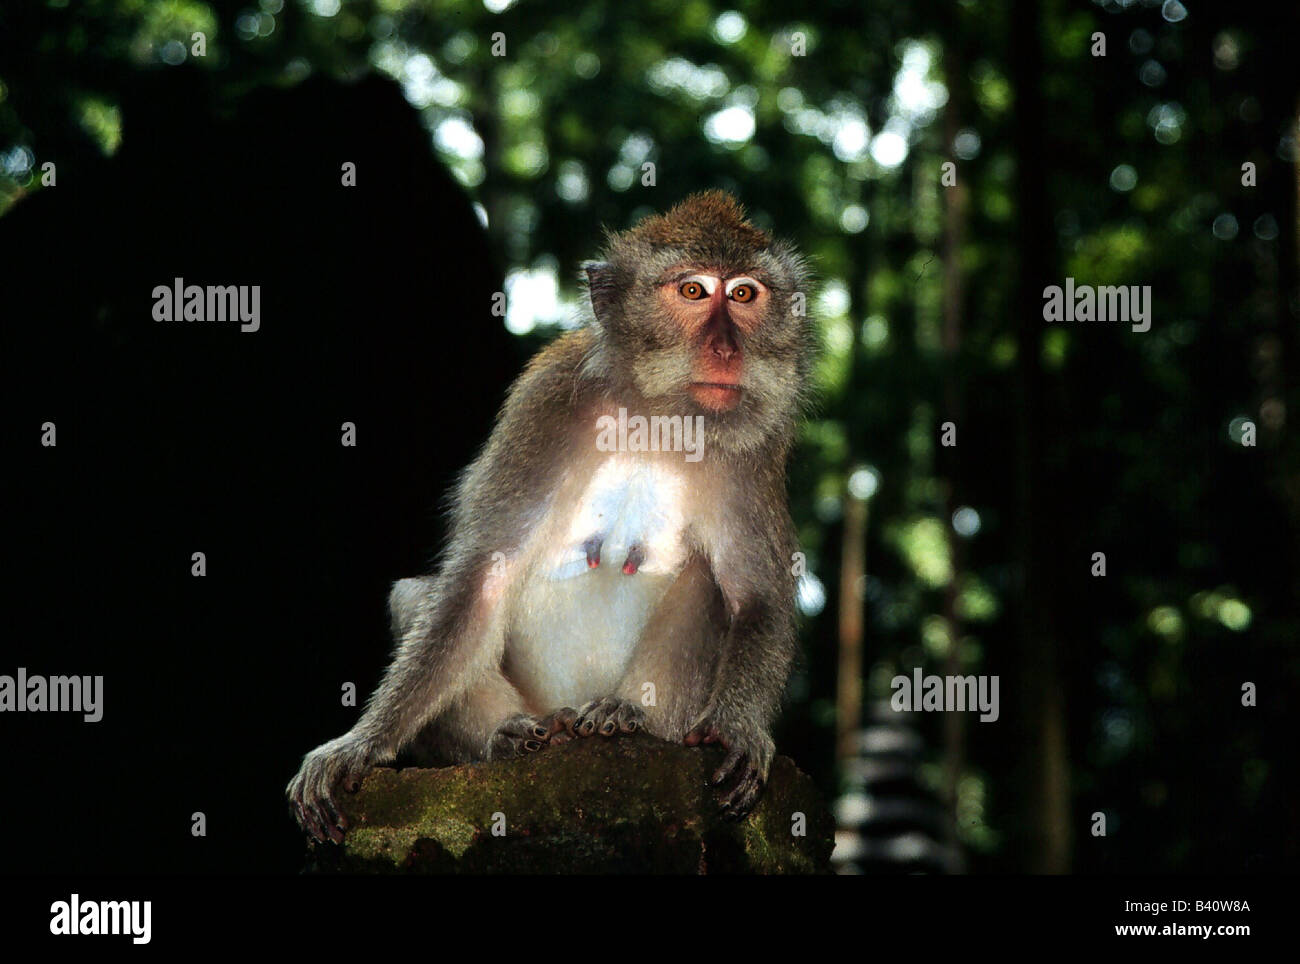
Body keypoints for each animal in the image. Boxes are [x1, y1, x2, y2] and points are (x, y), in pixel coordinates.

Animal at [287, 191, 813, 843]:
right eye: (693, 291)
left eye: (743, 294)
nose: (726, 349)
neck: (656, 414)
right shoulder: (546, 403)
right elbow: (481, 578)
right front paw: (359, 744)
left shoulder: (756, 449)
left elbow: (755, 596)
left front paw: (739, 728)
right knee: (416, 599)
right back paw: (512, 735)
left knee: (708, 587)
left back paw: (624, 714)